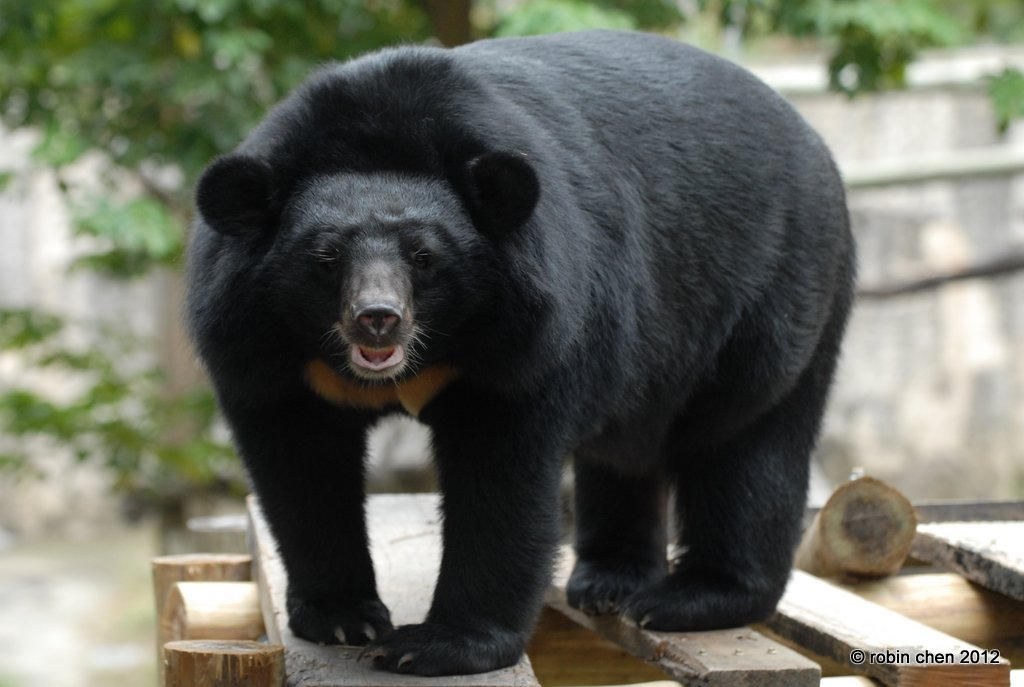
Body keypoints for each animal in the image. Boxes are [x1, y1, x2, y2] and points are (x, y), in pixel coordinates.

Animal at [186, 29, 855, 677]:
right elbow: (302, 467)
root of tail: (812, 138)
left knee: (746, 436)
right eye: (325, 259)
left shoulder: (529, 331)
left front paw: (434, 646)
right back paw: (608, 583)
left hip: (771, 287)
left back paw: (690, 598)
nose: (377, 319)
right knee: (627, 448)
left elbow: (501, 476)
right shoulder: (268, 352)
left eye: (424, 257)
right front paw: (344, 620)